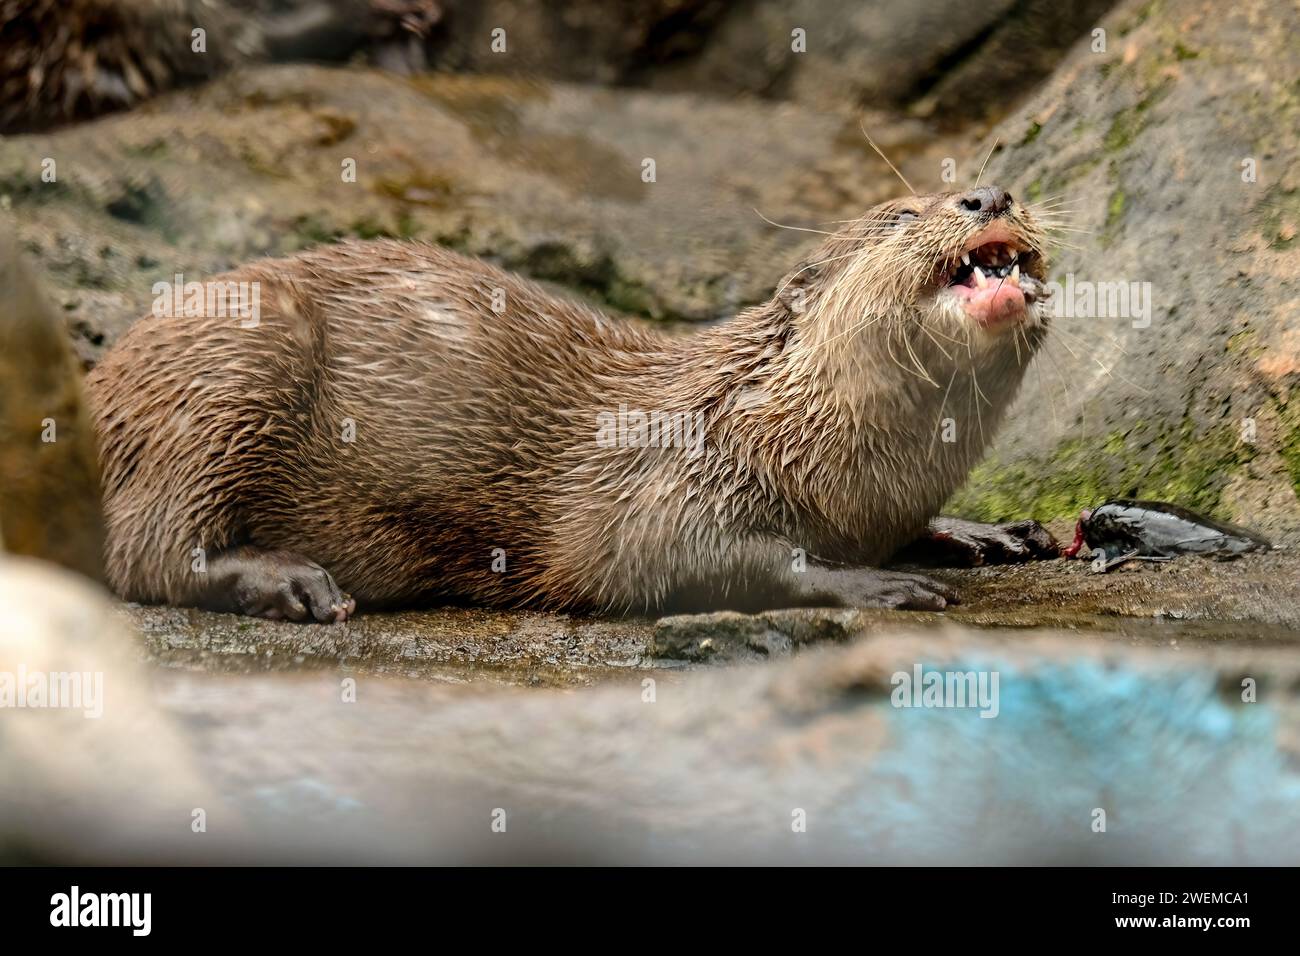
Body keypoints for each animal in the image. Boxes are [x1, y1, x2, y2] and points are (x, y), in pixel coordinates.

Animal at [85, 185, 1053, 622]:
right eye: (899, 214)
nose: (990, 194)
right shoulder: (668, 473)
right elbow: (668, 559)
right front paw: (872, 582)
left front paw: (982, 530)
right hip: (231, 370)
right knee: (145, 547)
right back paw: (292, 581)